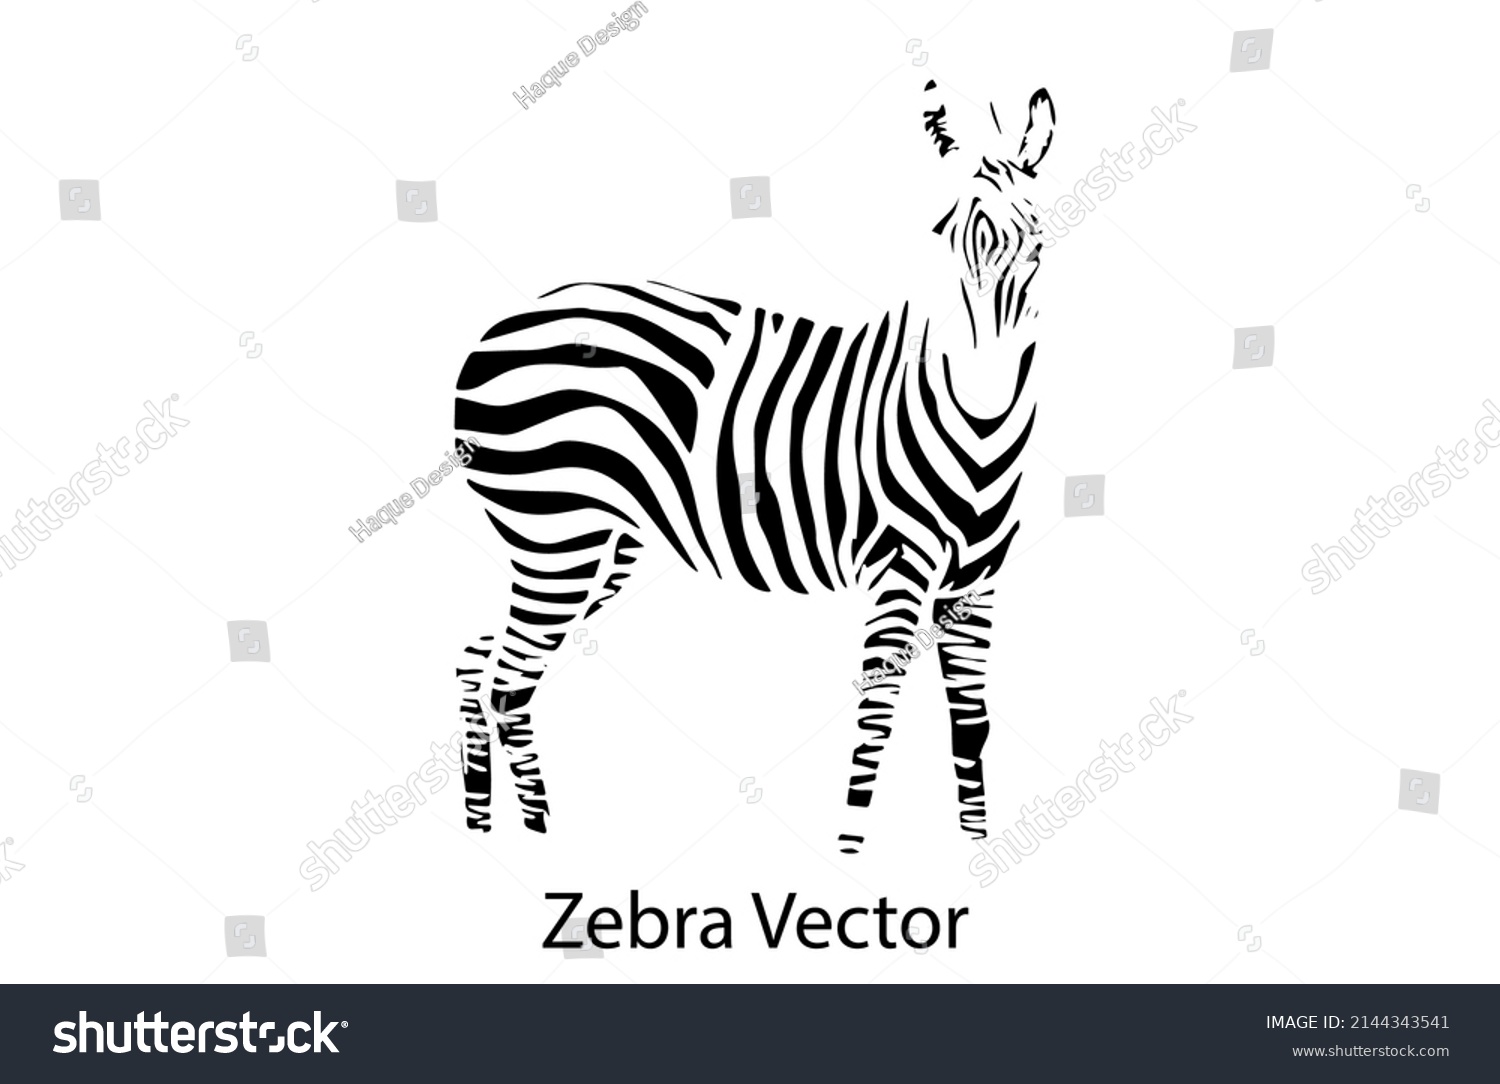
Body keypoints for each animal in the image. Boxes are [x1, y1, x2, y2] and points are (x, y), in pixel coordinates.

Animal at [455, 78, 1055, 852]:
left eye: (1037, 240)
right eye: (942, 238)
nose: (980, 389)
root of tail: (503, 325)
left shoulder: (977, 583)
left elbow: (971, 725)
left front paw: (975, 846)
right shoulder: (896, 568)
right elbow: (879, 709)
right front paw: (851, 852)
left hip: (593, 545)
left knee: (476, 660)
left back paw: (483, 826)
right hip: (555, 532)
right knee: (506, 681)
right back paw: (541, 838)